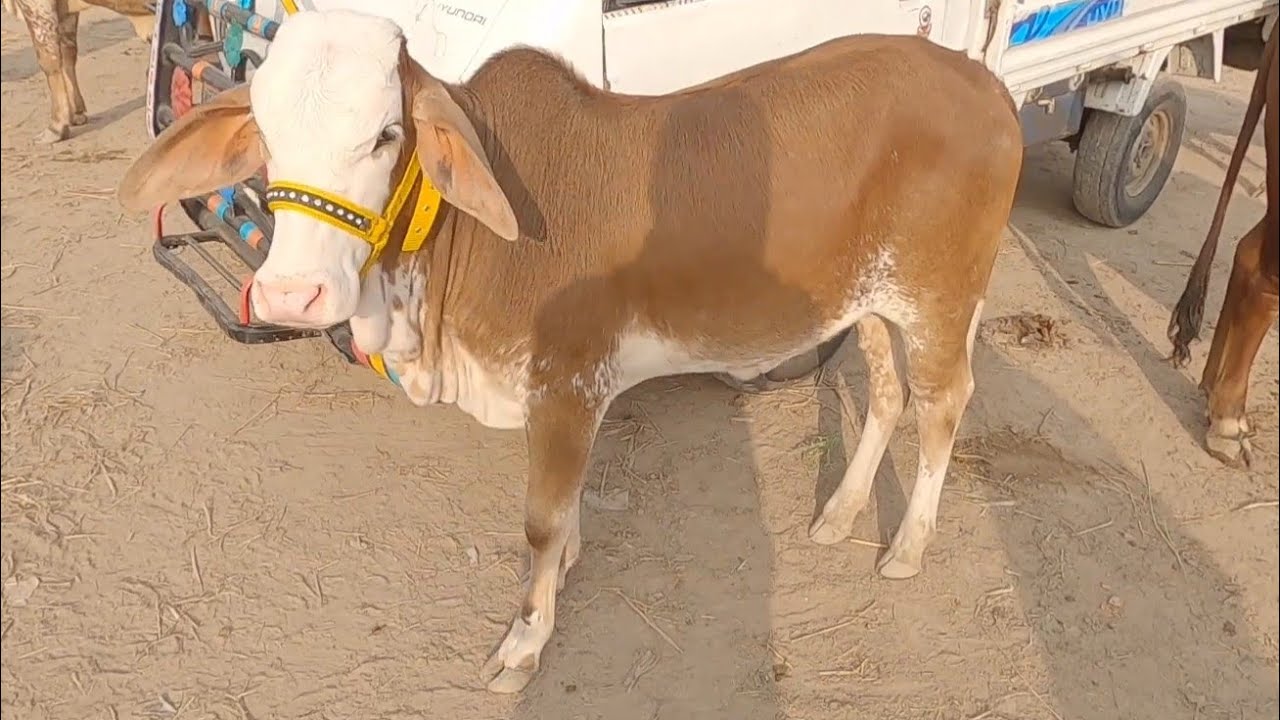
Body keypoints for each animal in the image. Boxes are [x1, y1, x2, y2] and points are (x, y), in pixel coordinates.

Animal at [114, 10, 1024, 693]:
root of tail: (984, 83)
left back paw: (907, 546)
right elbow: (569, 511)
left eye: (384, 135)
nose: (290, 294)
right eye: (266, 133)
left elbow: (542, 521)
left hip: (940, 299)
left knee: (943, 406)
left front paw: (525, 639)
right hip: (871, 303)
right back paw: (840, 514)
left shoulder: (567, 383)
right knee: (888, 391)